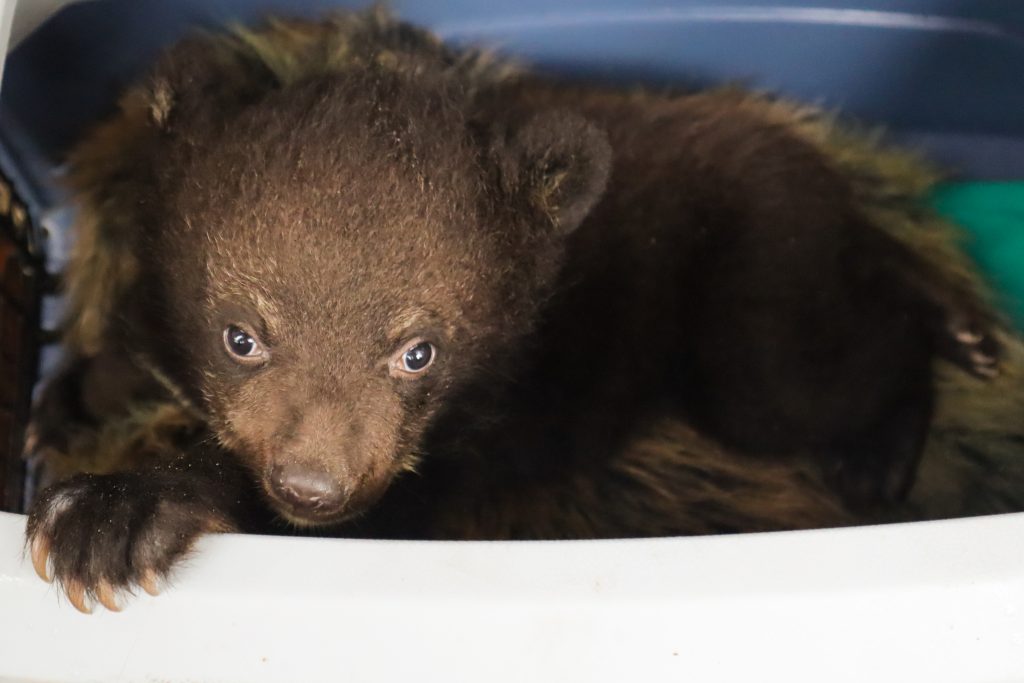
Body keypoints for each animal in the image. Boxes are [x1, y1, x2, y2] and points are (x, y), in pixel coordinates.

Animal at [24, 9, 1007, 612]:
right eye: (241, 336)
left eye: (418, 351)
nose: (313, 485)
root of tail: (791, 138)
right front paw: (69, 400)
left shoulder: (468, 442)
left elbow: (393, 514)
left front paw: (120, 513)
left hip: (750, 292)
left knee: (809, 371)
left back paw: (900, 422)